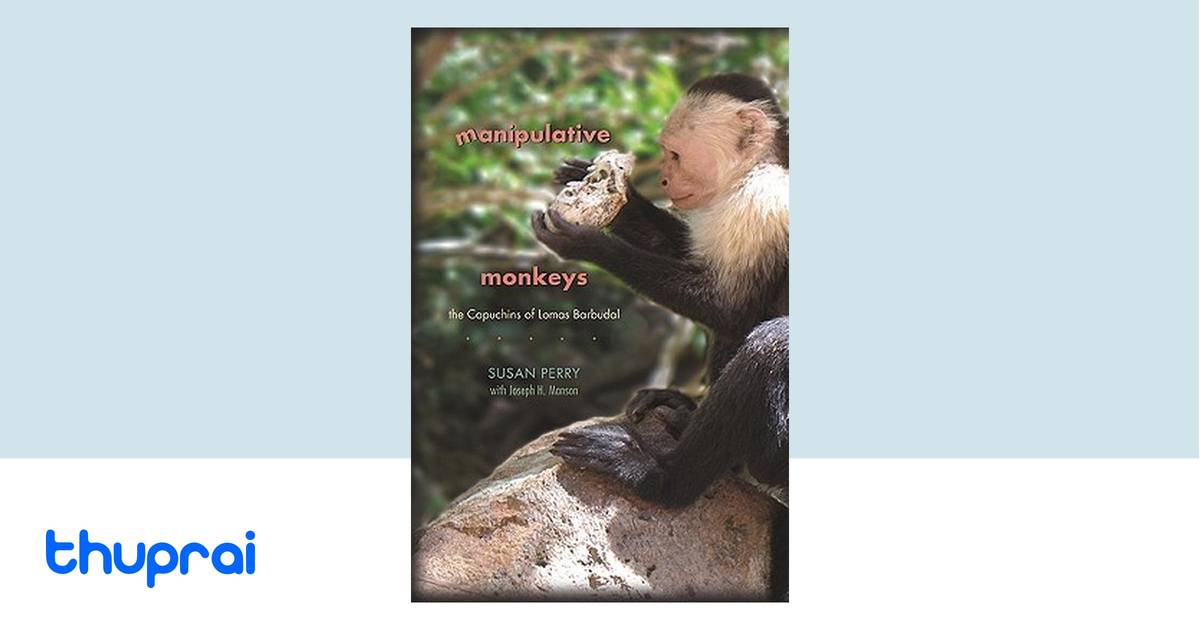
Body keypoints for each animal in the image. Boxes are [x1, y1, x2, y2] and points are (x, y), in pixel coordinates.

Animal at [531, 73, 789, 515]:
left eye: (676, 155)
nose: (665, 180)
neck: (759, 166)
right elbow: (693, 260)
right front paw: (614, 193)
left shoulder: (759, 204)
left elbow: (729, 306)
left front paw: (588, 242)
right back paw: (683, 413)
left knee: (770, 343)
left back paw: (656, 478)